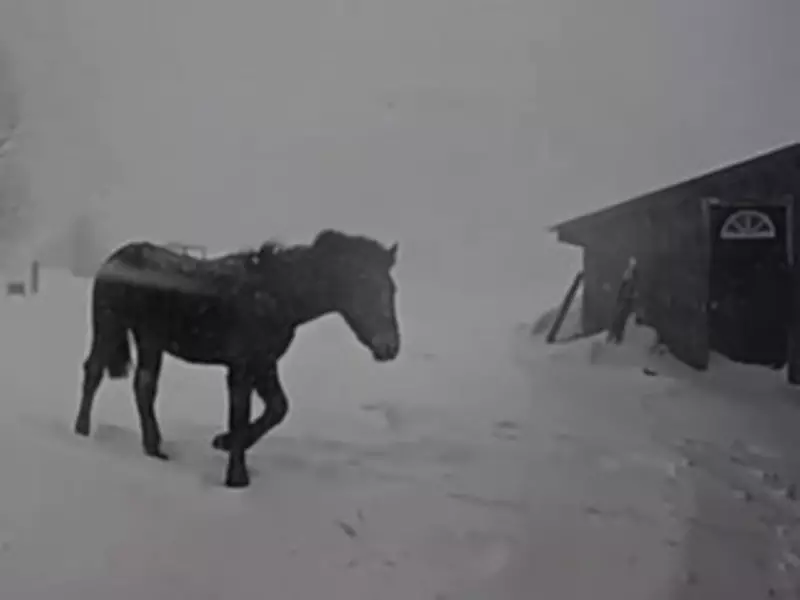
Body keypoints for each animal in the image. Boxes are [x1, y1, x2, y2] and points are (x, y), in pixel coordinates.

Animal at [73, 229, 401, 488]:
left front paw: (224, 441)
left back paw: (154, 449)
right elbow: (241, 414)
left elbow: (277, 408)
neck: (273, 296)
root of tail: (115, 257)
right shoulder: (242, 367)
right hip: (109, 328)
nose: (389, 347)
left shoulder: (265, 363)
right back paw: (82, 431)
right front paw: (236, 477)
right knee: (94, 372)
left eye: (391, 289)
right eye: (359, 284)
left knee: (144, 387)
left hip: (149, 341)